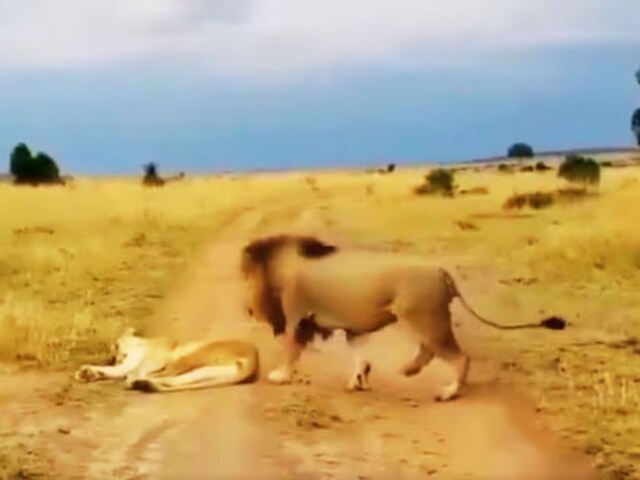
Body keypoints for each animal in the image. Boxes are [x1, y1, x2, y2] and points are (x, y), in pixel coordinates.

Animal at [74, 327, 260, 393]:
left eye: (115, 344)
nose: (114, 355)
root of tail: (253, 359)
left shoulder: (155, 358)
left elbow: (132, 369)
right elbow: (115, 370)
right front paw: (87, 373)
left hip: (189, 357)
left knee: (165, 375)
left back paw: (138, 382)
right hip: (204, 372)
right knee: (173, 380)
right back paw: (142, 383)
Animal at [240, 234, 566, 402]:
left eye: (247, 277)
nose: (248, 309)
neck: (282, 265)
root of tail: (440, 270)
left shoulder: (297, 316)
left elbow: (290, 349)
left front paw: (279, 376)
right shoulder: (353, 327)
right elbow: (359, 356)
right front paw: (357, 382)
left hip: (422, 317)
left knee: (457, 356)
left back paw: (447, 392)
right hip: (426, 318)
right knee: (431, 350)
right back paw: (409, 370)